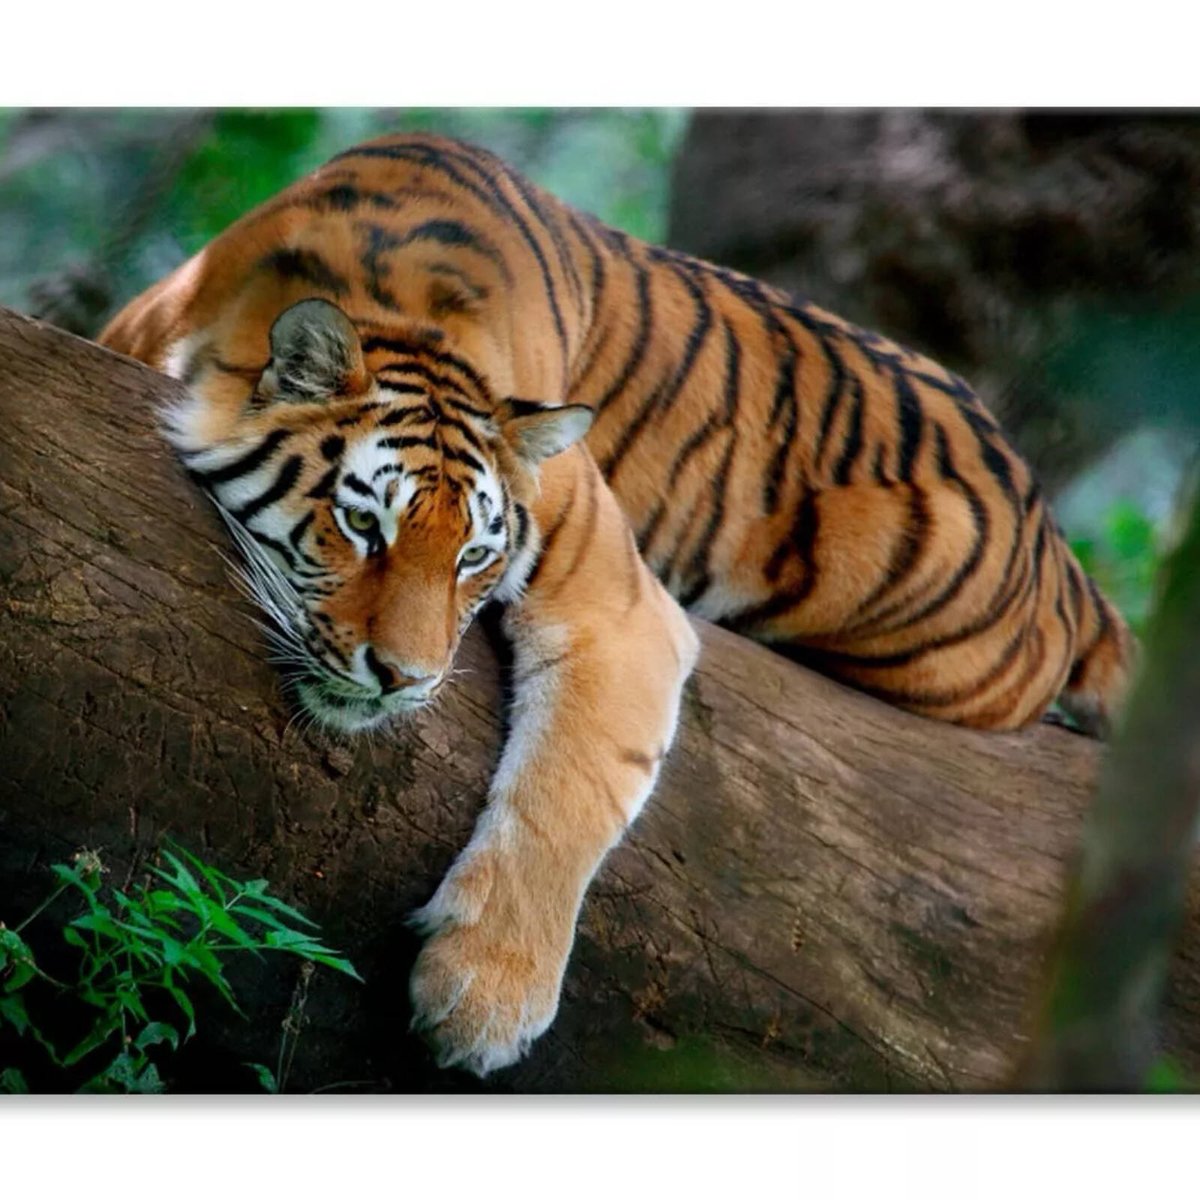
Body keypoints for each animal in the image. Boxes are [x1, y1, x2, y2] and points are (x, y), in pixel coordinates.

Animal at [98, 132, 1134, 1078]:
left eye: (474, 556)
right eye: (363, 526)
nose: (404, 680)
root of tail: (1055, 539)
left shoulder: (619, 606)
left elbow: (568, 790)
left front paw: (484, 1000)